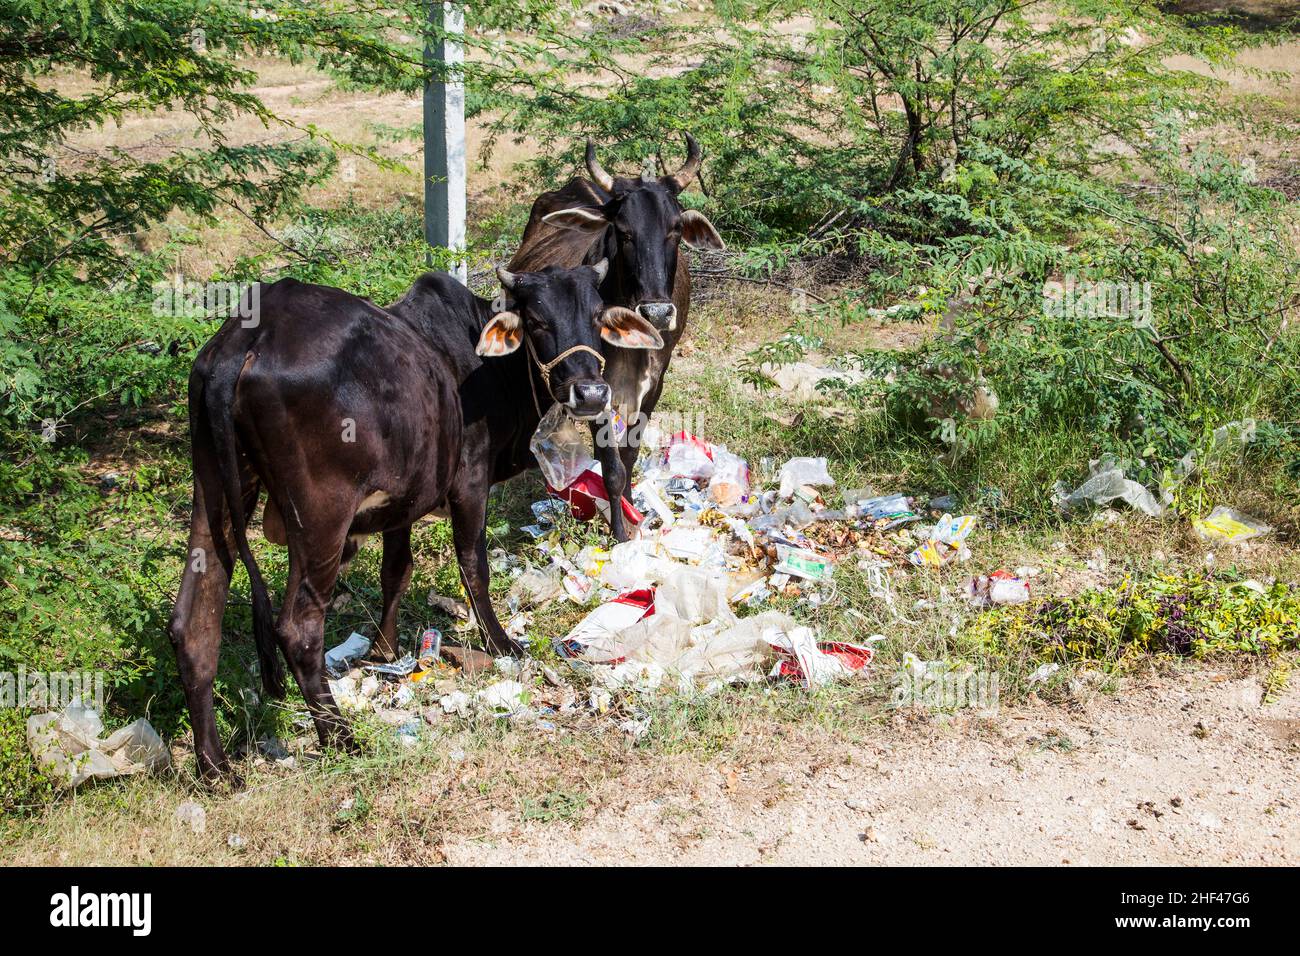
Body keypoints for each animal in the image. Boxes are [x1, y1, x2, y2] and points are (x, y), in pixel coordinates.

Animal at [168, 261, 663, 779]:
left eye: (596, 315)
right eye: (537, 321)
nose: (590, 393)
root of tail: (248, 338)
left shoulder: (401, 502)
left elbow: (397, 571)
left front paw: (384, 651)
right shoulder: (469, 479)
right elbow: (473, 566)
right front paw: (501, 643)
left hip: (215, 494)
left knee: (193, 623)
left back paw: (216, 768)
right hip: (321, 517)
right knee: (298, 629)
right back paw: (342, 739)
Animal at [508, 133, 725, 542]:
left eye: (675, 229)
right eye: (623, 230)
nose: (656, 313)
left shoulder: (653, 385)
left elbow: (629, 456)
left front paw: (631, 511)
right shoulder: (597, 388)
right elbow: (611, 466)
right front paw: (620, 534)